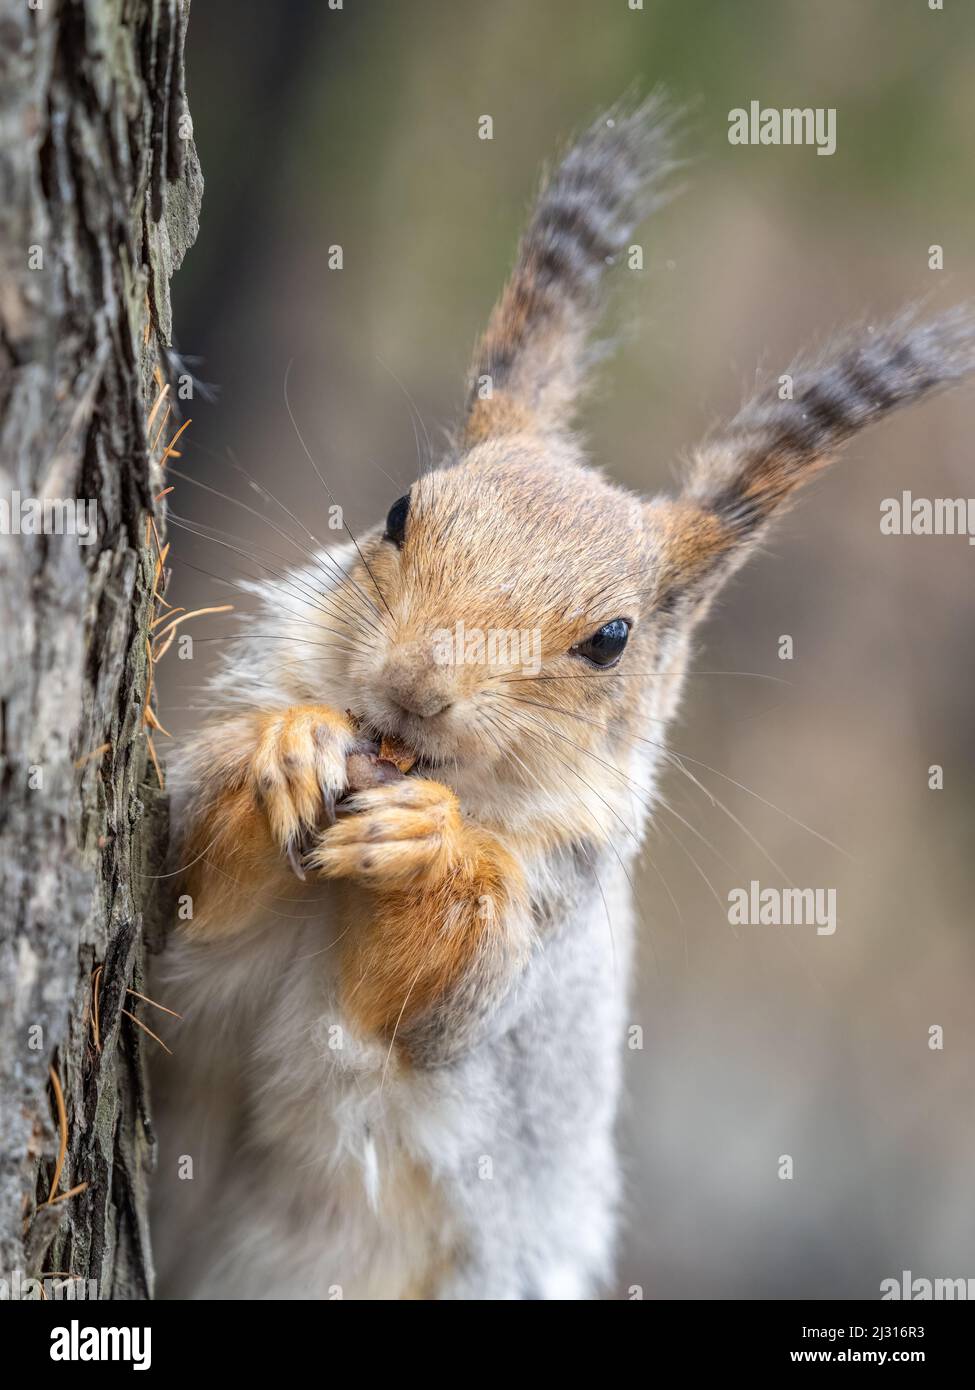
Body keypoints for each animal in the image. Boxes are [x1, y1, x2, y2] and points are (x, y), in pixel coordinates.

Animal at [151, 97, 975, 1300]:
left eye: (611, 639)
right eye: (398, 511)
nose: (413, 686)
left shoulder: (539, 923)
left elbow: (430, 1004)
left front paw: (431, 846)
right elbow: (194, 873)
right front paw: (291, 745)